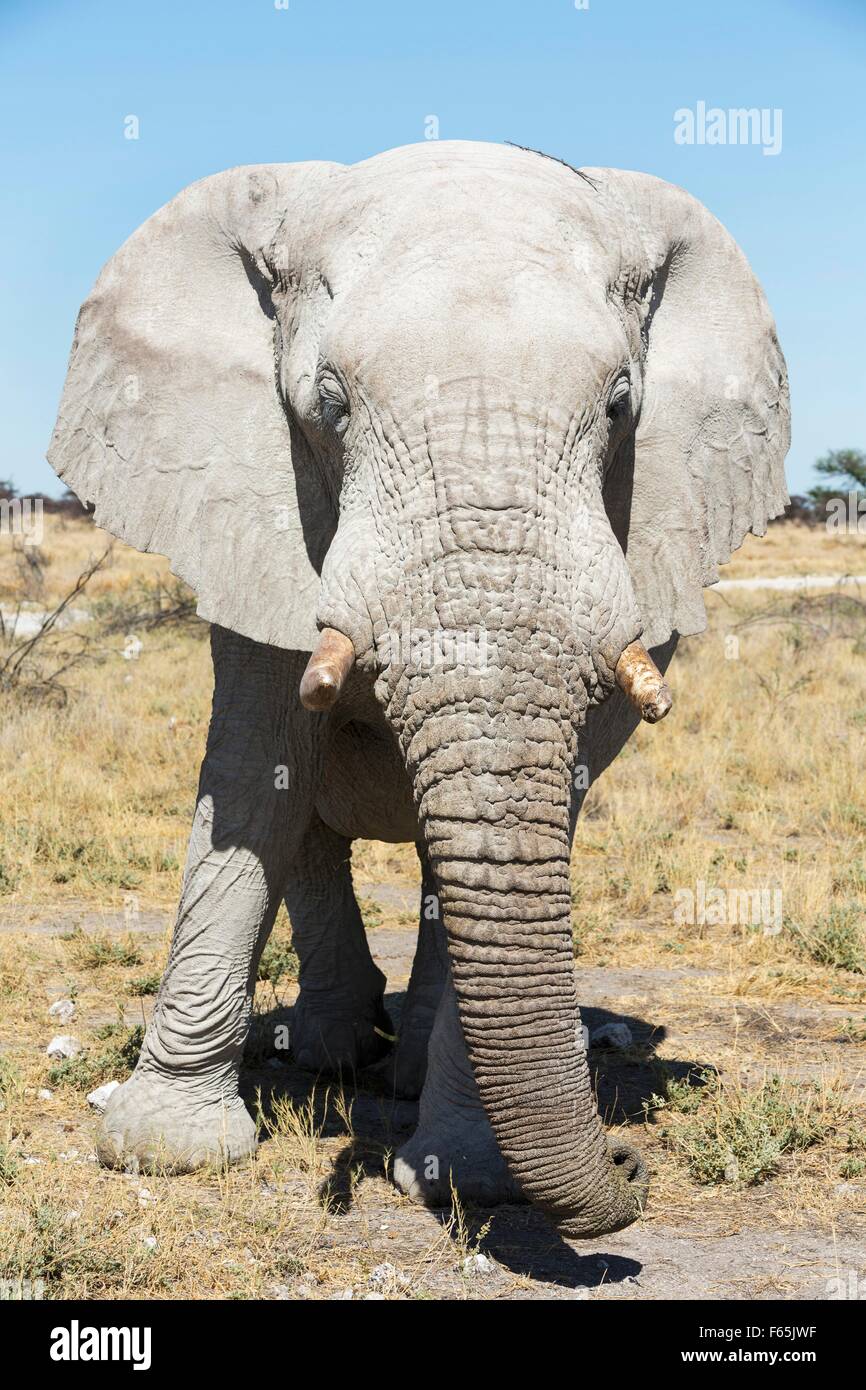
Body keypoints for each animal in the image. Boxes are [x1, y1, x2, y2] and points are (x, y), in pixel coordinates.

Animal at [47, 140, 789, 1240]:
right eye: (328, 406)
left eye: (621, 406)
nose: (630, 1165)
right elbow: (258, 775)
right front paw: (163, 1150)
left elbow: (536, 805)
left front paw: (463, 1177)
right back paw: (332, 1053)